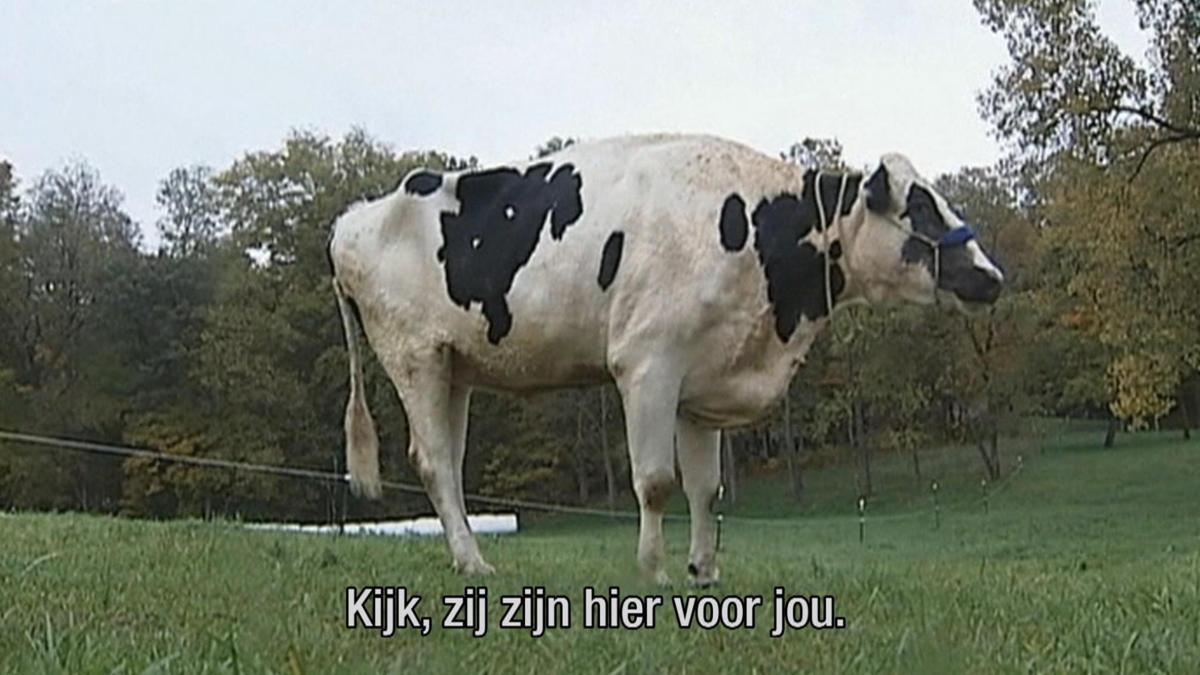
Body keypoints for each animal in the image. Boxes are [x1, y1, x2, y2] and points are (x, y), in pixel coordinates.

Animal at [328, 133, 1003, 585]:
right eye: (920, 207)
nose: (992, 277)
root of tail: (353, 217)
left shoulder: (702, 382)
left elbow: (706, 488)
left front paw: (704, 571)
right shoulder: (647, 364)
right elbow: (655, 482)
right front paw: (653, 572)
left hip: (455, 367)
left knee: (449, 459)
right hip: (414, 355)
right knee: (435, 461)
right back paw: (474, 563)